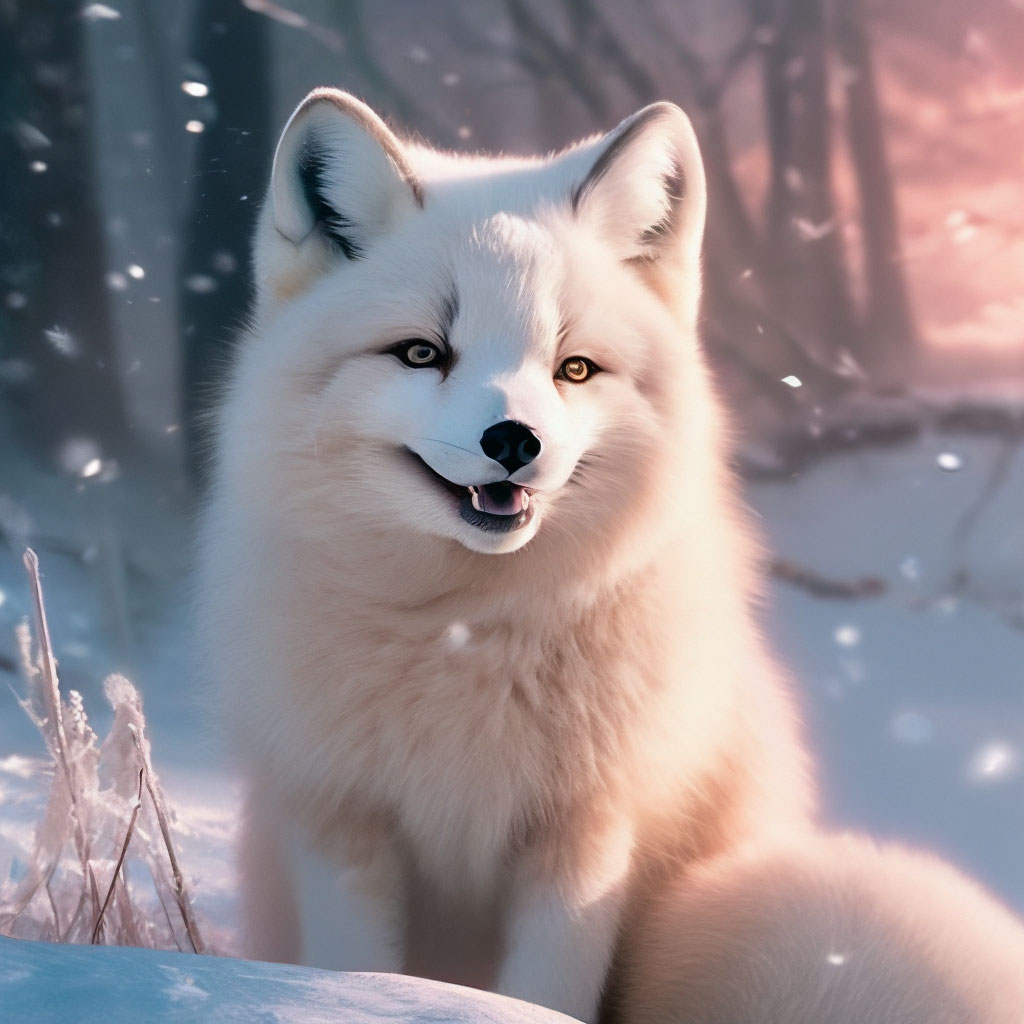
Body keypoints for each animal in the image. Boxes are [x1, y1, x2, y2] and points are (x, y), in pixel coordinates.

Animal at [197, 88, 1024, 1023]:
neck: (466, 631)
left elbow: (548, 996)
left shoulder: (587, 838)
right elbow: (352, 975)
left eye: (575, 369)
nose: (513, 440)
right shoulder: (343, 827)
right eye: (421, 353)